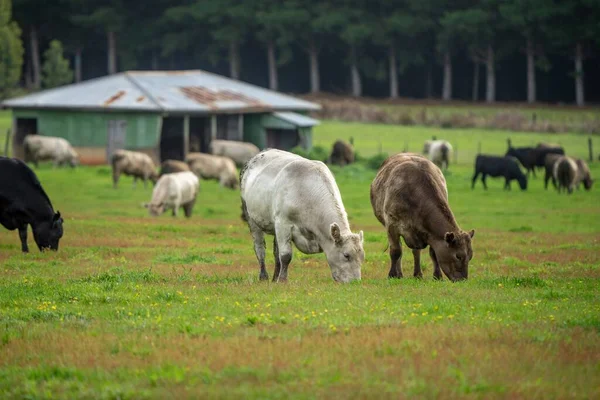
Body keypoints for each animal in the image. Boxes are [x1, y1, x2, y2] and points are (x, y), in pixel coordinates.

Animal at [240, 148, 364, 282]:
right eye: (346, 255)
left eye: (362, 256)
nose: (355, 282)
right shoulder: (283, 223)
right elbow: (285, 255)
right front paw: (282, 280)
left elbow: (280, 254)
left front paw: (279, 278)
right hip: (251, 218)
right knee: (260, 248)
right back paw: (264, 276)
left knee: (275, 252)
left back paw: (274, 278)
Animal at [370, 153, 474, 282]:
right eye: (458, 256)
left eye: (470, 256)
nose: (463, 279)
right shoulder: (392, 225)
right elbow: (396, 251)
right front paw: (393, 275)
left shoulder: (431, 235)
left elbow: (433, 253)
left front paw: (437, 276)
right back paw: (400, 274)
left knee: (416, 252)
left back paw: (418, 274)